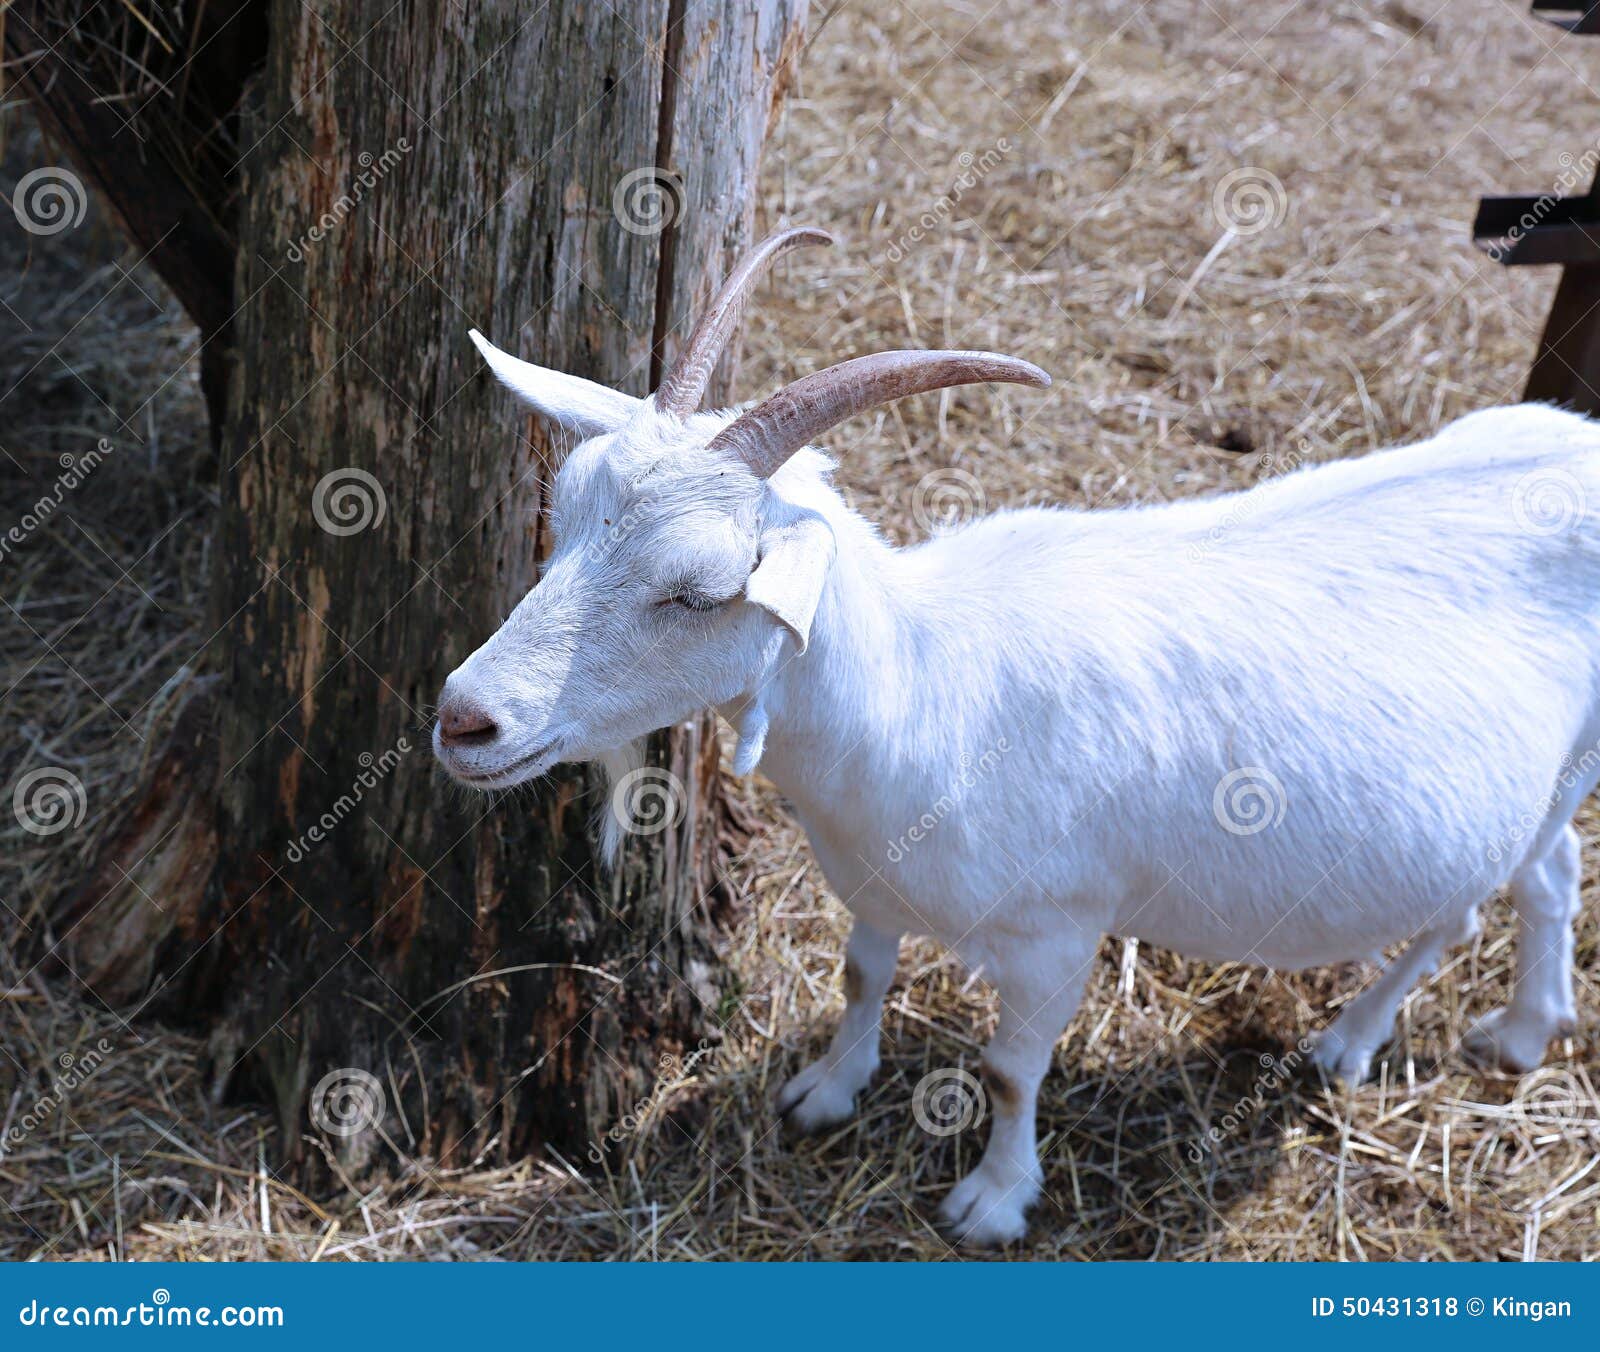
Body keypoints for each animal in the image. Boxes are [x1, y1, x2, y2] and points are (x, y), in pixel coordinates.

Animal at [435, 227, 1599, 1245]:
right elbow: (860, 976)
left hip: (1568, 770)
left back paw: (1426, 1036)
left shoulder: (1057, 930)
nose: (463, 717)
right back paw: (1444, 1033)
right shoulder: (872, 876)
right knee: (1501, 888)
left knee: (1505, 891)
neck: (925, 688)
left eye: (698, 590)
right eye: (563, 516)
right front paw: (824, 1093)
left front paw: (991, 1203)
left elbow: (1006, 1070)